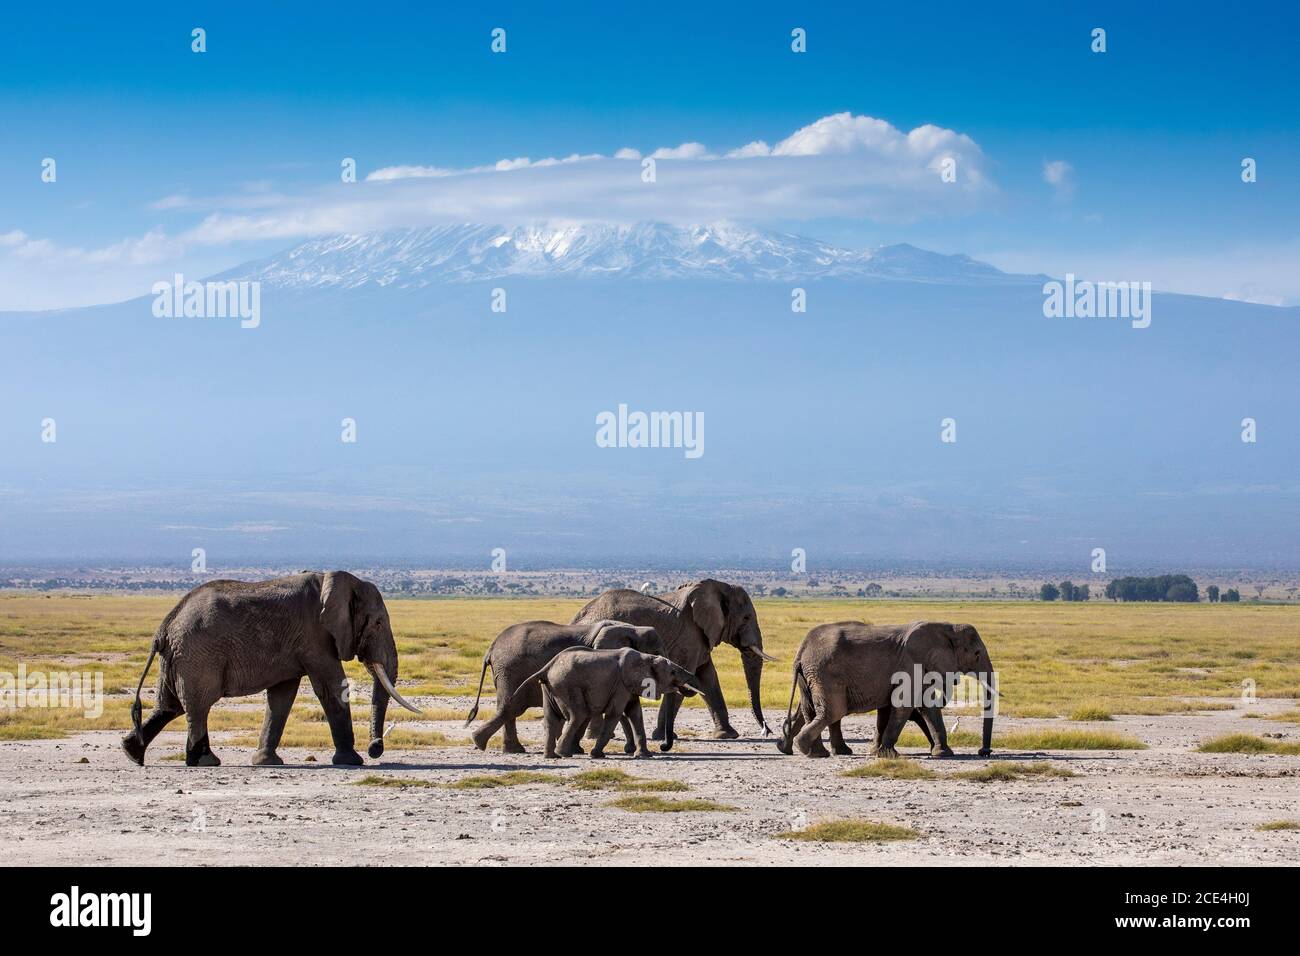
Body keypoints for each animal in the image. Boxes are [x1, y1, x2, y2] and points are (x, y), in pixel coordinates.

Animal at [120, 571, 422, 767]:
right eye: (378, 623)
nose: (375, 749)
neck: (339, 581)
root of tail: (165, 626)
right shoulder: (314, 635)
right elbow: (332, 688)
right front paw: (351, 762)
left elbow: (281, 698)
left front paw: (266, 762)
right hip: (197, 656)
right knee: (197, 706)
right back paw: (206, 761)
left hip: (178, 658)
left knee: (169, 707)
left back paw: (132, 753)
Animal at [466, 619, 665, 753]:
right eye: (655, 654)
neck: (632, 628)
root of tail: (491, 648)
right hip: (510, 671)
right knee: (512, 706)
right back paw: (492, 745)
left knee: (510, 709)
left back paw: (506, 748)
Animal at [485, 647, 706, 759]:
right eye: (672, 672)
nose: (662, 746)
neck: (646, 657)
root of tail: (548, 666)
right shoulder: (621, 684)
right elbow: (616, 714)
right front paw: (597, 755)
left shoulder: (628, 686)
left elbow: (635, 713)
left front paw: (644, 755)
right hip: (567, 685)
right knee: (578, 715)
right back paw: (563, 754)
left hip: (549, 687)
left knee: (551, 719)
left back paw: (552, 757)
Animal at [571, 579, 774, 751]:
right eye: (746, 618)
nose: (768, 731)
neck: (719, 586)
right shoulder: (689, 636)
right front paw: (661, 736)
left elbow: (709, 679)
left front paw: (727, 735)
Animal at [775, 621, 995, 760]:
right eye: (977, 653)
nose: (984, 751)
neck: (947, 627)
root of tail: (802, 650)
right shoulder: (911, 664)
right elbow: (906, 704)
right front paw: (888, 755)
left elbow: (922, 706)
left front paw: (943, 753)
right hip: (825, 673)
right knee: (833, 711)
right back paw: (810, 750)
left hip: (810, 676)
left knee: (813, 711)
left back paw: (817, 752)